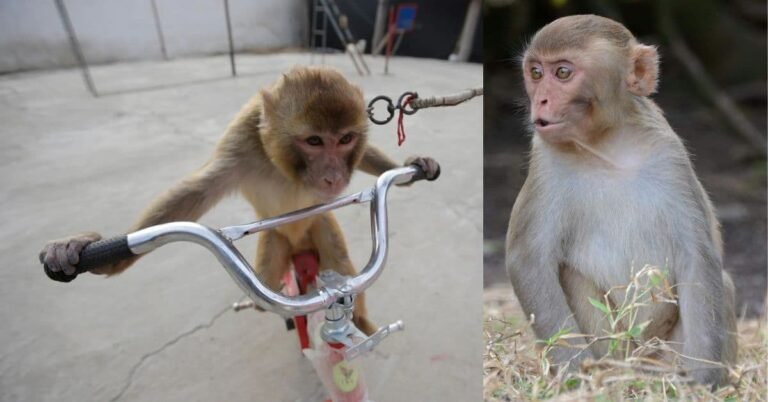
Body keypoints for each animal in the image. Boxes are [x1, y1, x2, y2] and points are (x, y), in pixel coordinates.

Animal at [39, 66, 440, 336]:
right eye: (314, 141)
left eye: (344, 139)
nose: (334, 177)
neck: (284, 166)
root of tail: (299, 248)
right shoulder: (241, 143)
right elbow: (194, 192)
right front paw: (83, 247)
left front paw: (412, 168)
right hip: (274, 245)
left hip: (321, 224)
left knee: (342, 266)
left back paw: (361, 320)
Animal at [505, 15, 737, 385]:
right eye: (536, 73)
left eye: (563, 73)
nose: (539, 101)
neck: (607, 147)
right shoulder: (545, 163)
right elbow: (528, 261)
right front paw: (576, 375)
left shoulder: (668, 155)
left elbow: (698, 258)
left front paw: (704, 380)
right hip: (615, 346)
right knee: (570, 277)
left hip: (662, 351)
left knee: (723, 283)